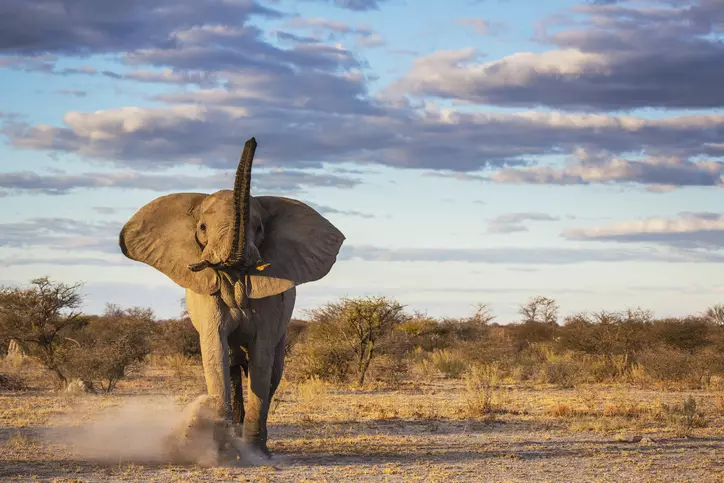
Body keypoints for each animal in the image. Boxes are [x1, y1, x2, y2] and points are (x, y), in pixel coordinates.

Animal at [117, 138, 346, 460]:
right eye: (202, 228)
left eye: (259, 228)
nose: (252, 141)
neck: (233, 273)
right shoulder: (207, 296)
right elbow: (215, 352)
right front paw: (223, 451)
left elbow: (262, 359)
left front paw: (253, 453)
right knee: (234, 366)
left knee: (272, 371)